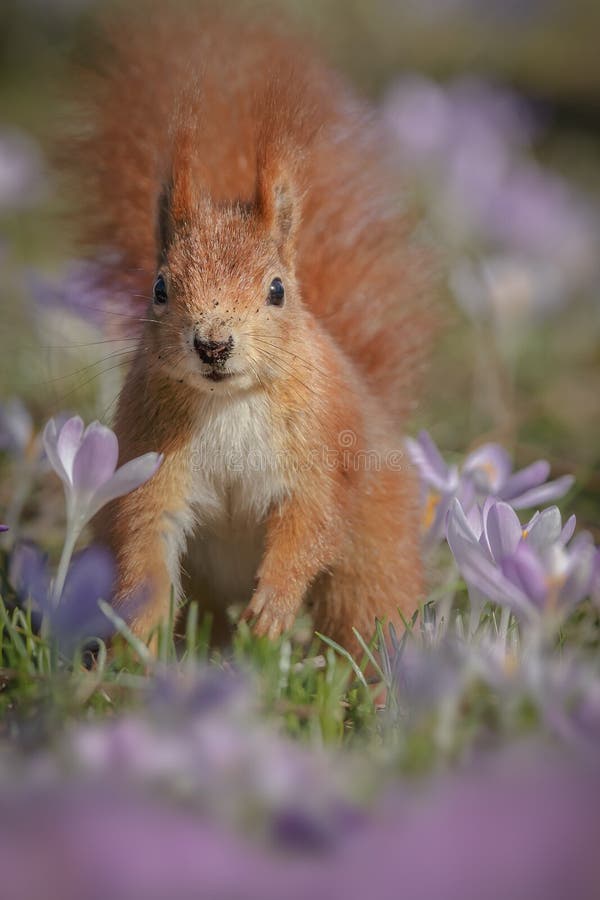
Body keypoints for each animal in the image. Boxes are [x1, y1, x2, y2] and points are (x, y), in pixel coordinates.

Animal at [66, 9, 435, 655]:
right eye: (159, 287)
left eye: (277, 290)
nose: (213, 343)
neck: (229, 403)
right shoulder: (152, 458)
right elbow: (146, 537)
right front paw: (140, 633)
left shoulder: (321, 453)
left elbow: (311, 525)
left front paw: (272, 608)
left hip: (374, 559)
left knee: (371, 613)